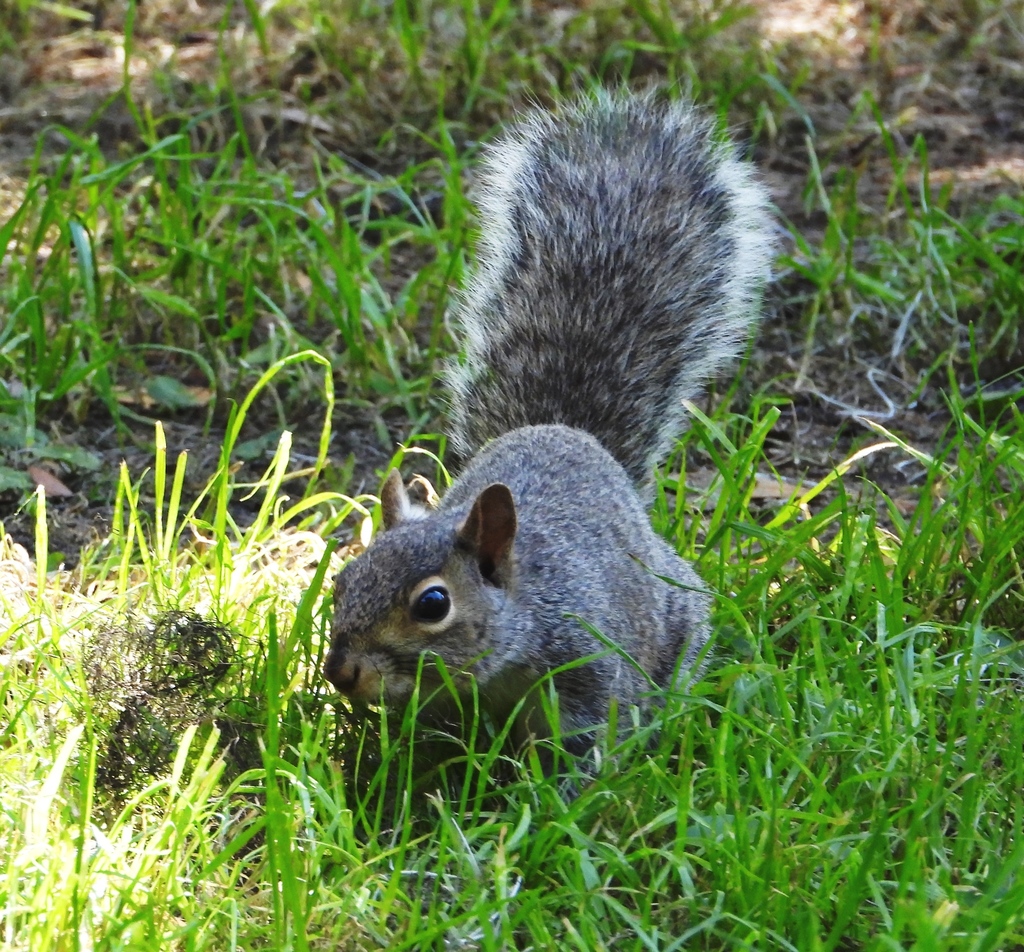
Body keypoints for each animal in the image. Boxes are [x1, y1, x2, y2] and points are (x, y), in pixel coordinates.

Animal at [325, 90, 774, 758]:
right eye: (344, 579)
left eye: (433, 604)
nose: (340, 671)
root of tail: (570, 433)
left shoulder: (590, 665)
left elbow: (593, 741)